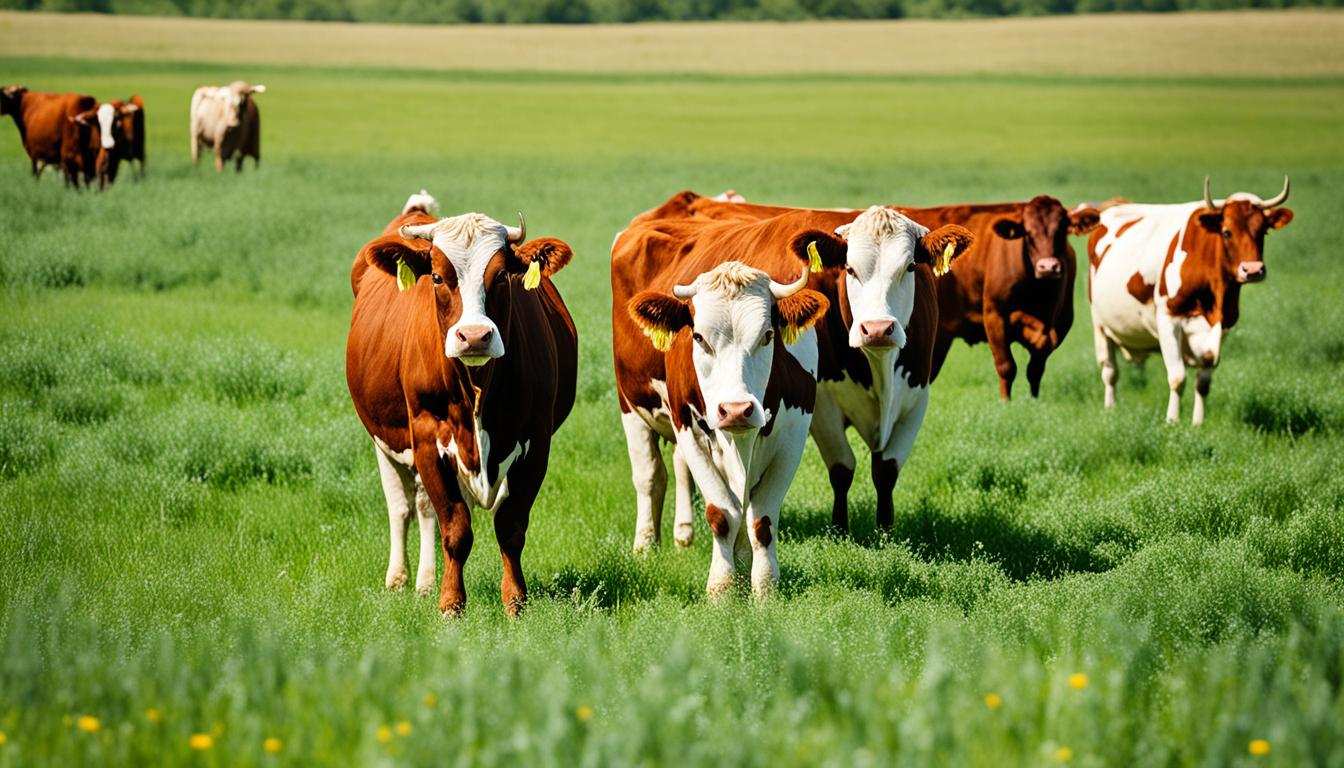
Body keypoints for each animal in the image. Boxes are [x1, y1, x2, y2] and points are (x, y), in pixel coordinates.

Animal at [346, 192, 578, 616]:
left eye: (501, 276)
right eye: (437, 277)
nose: (474, 336)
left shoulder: (536, 442)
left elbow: (510, 526)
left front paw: (515, 601)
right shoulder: (425, 438)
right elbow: (454, 527)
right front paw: (451, 603)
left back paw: (423, 581)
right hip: (384, 441)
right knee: (405, 507)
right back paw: (402, 579)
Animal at [612, 210, 840, 595]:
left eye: (768, 335)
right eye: (699, 337)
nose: (735, 409)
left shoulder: (794, 432)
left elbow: (761, 517)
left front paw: (763, 587)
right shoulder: (688, 426)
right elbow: (722, 513)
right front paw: (721, 588)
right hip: (631, 403)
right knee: (649, 476)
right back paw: (645, 545)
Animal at [683, 194, 974, 531]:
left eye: (911, 266)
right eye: (849, 268)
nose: (877, 328)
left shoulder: (916, 398)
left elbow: (886, 470)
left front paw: (885, 528)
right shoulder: (822, 404)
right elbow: (842, 468)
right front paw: (840, 528)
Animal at [1087, 177, 1293, 425]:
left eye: (1263, 231)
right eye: (1227, 232)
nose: (1253, 270)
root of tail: (1114, 205)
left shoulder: (1223, 327)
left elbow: (1203, 382)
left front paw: (1197, 423)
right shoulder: (1168, 319)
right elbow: (1177, 377)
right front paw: (1172, 421)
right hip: (1099, 324)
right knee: (1110, 372)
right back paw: (1110, 409)